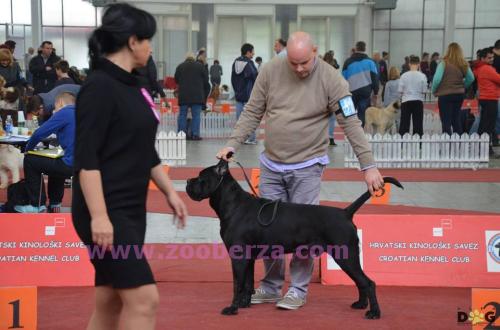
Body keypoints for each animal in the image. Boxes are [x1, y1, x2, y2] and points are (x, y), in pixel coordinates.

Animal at [186, 159, 404, 318]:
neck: (234, 205)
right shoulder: (247, 258)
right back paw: (360, 304)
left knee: (368, 282)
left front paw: (232, 308)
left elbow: (236, 285)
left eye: (200, 177)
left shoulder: (238, 258)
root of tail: (345, 212)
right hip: (347, 257)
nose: (188, 181)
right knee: (361, 282)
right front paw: (244, 304)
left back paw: (374, 313)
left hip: (346, 257)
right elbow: (247, 284)